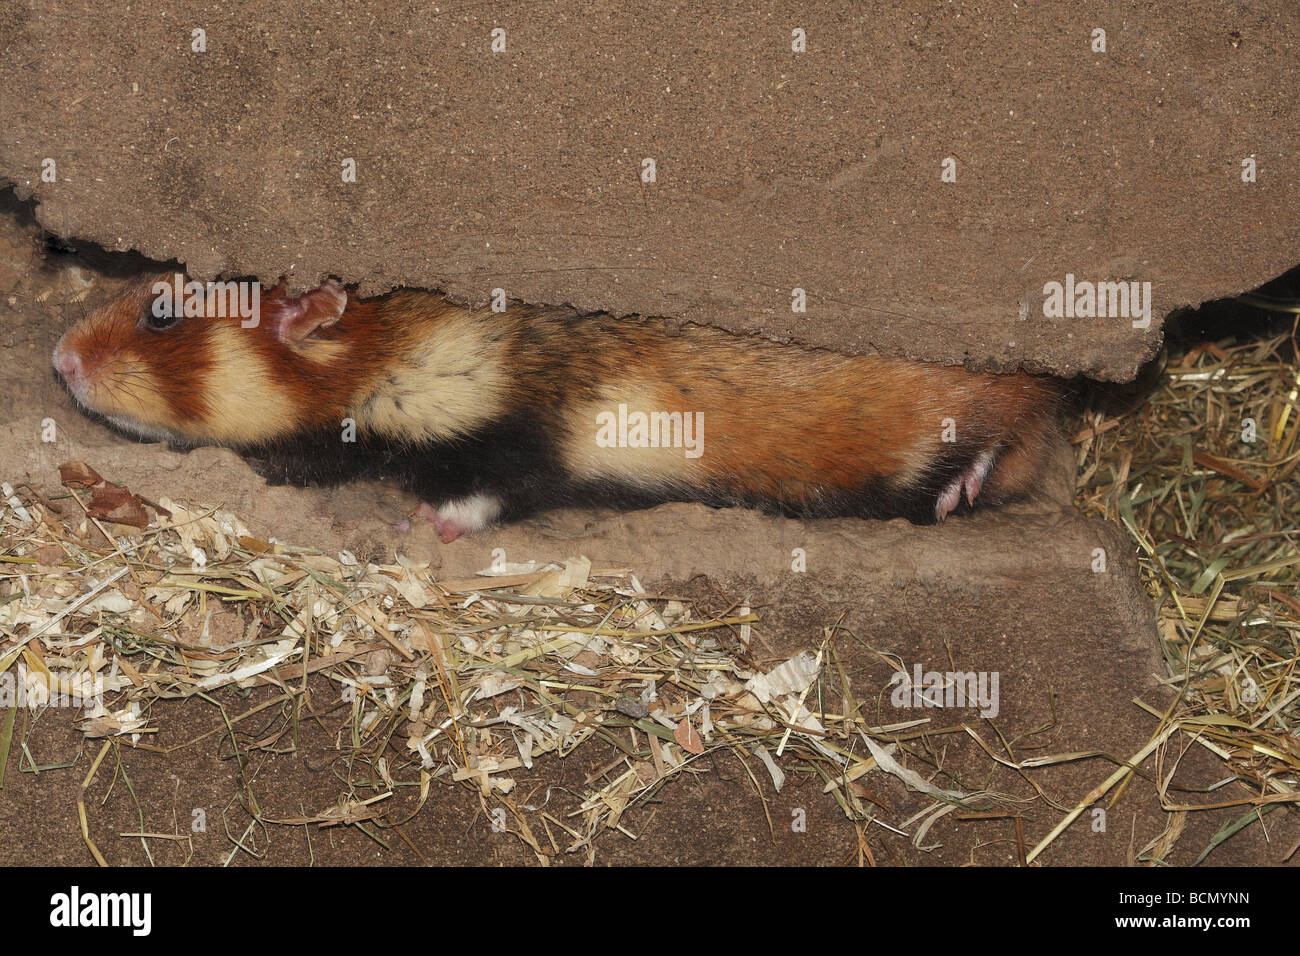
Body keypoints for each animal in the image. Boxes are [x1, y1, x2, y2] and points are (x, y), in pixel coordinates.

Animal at [52, 273, 1062, 541]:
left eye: (162, 313)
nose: (58, 359)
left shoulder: (525, 430)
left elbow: (492, 487)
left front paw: (428, 521)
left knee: (994, 439)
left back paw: (960, 493)